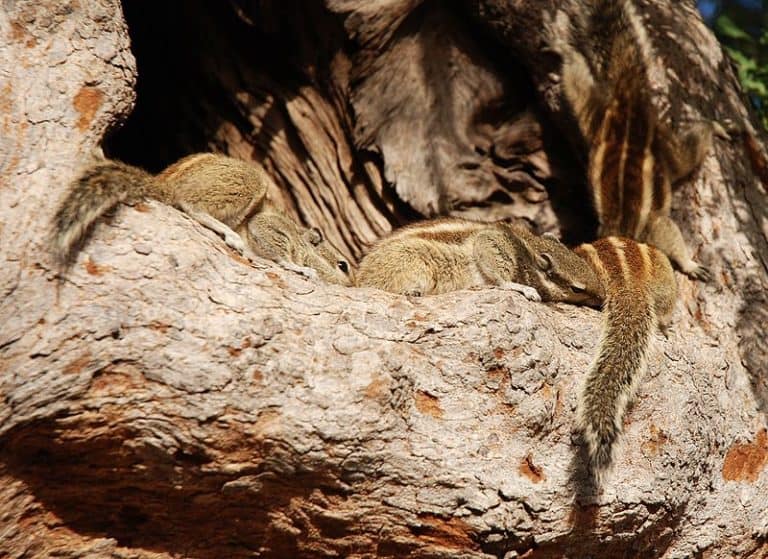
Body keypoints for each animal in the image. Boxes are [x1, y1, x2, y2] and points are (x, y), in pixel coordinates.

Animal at [50, 152, 354, 286]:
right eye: (343, 265)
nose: (352, 286)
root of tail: (164, 186)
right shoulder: (269, 227)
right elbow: (277, 250)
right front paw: (299, 268)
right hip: (246, 184)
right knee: (193, 206)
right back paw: (231, 235)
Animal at [356, 217, 604, 304]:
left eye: (587, 266)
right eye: (577, 289)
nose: (603, 299)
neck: (528, 246)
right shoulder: (493, 244)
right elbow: (498, 274)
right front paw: (523, 288)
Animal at [544, 0, 728, 281]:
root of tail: (627, 96)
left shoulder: (653, 227)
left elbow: (668, 231)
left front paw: (689, 265)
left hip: (661, 144)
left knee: (692, 147)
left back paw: (716, 126)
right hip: (594, 114)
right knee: (577, 80)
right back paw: (563, 51)